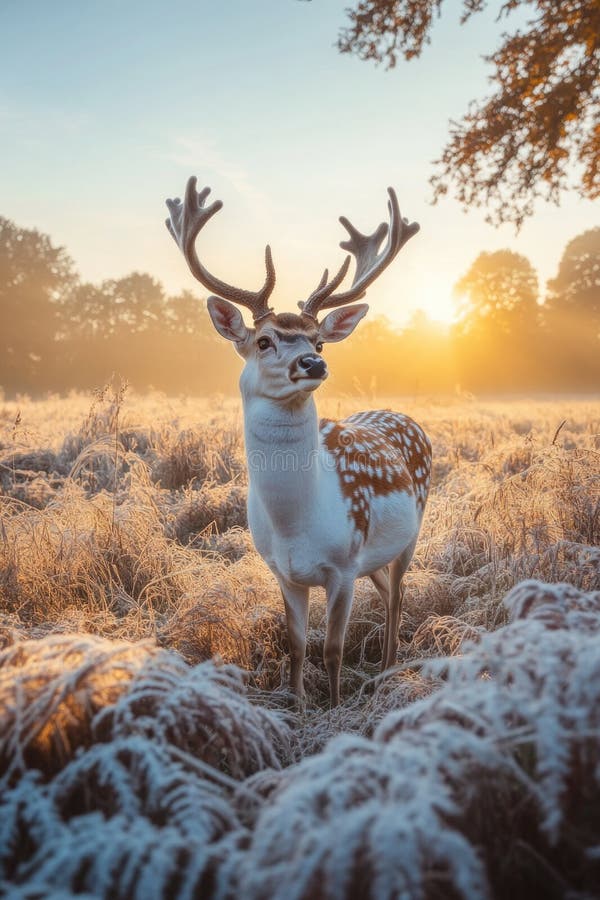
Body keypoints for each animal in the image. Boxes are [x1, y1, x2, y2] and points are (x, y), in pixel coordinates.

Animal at [165, 176, 432, 708]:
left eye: (319, 341)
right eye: (263, 339)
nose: (314, 363)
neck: (296, 522)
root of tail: (402, 416)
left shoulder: (343, 566)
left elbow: (331, 648)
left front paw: (334, 706)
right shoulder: (283, 570)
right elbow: (294, 643)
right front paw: (298, 703)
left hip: (412, 532)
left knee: (398, 593)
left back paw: (388, 669)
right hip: (376, 553)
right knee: (387, 590)